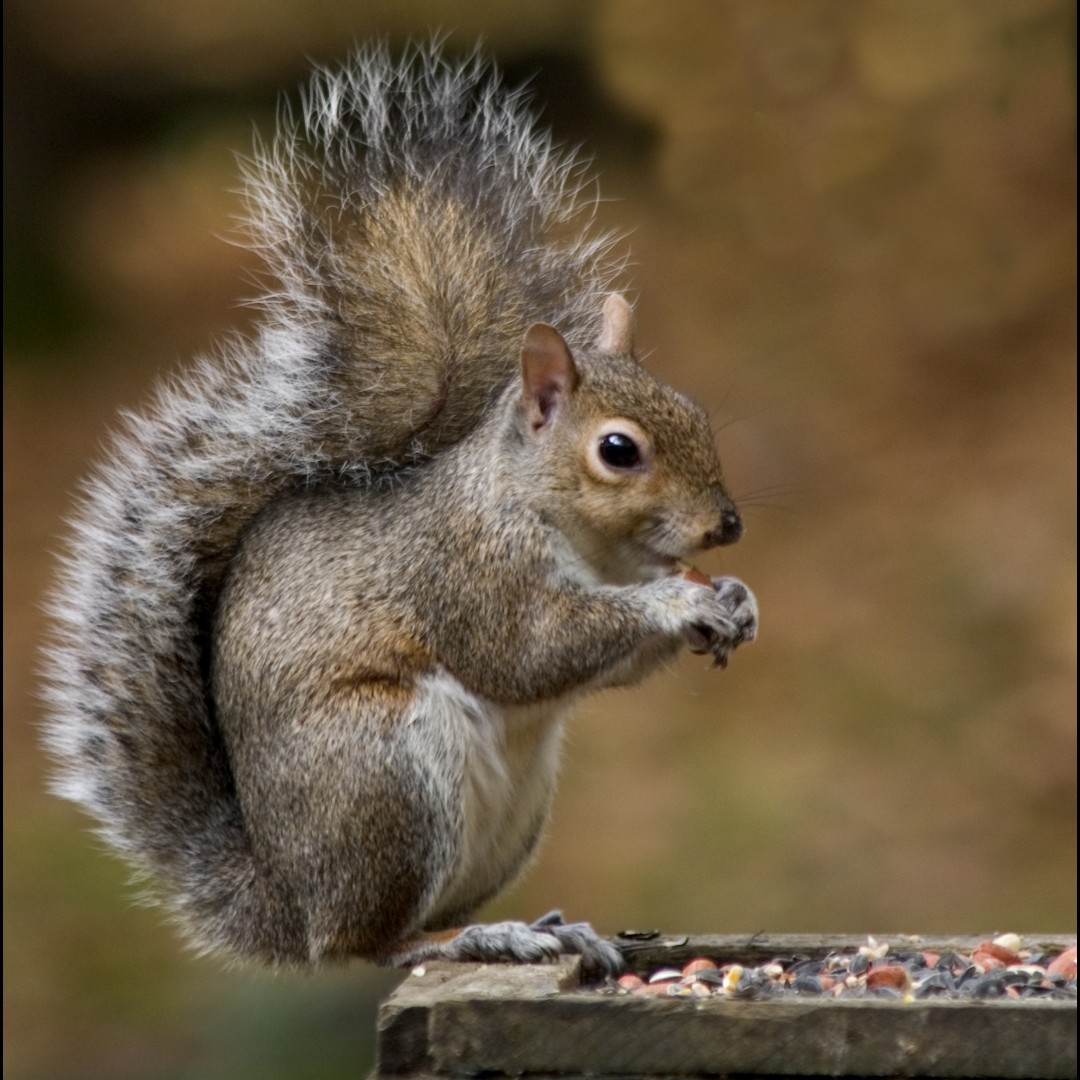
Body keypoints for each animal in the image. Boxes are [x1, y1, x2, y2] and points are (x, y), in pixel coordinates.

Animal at [43, 43, 758, 977]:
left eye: (698, 414)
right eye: (618, 450)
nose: (727, 527)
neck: (582, 539)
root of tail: (289, 902)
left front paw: (735, 599)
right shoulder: (466, 570)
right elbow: (529, 650)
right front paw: (675, 601)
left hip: (506, 818)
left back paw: (542, 929)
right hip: (385, 775)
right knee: (371, 943)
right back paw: (482, 936)